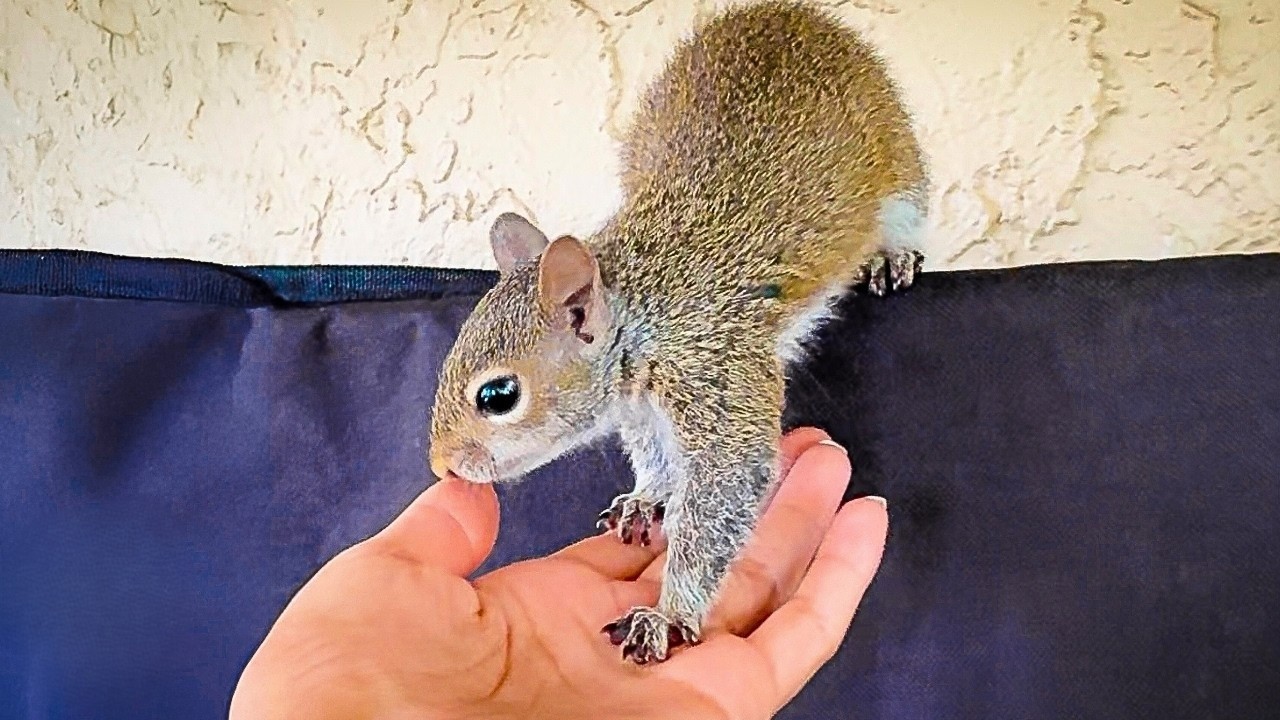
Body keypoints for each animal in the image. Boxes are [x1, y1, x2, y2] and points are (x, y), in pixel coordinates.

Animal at [428, 0, 928, 665]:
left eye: (498, 395)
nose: (441, 467)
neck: (646, 313)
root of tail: (793, 16)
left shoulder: (715, 370)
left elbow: (726, 483)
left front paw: (665, 615)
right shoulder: (644, 408)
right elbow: (657, 454)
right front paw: (648, 495)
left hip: (899, 161)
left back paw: (892, 256)